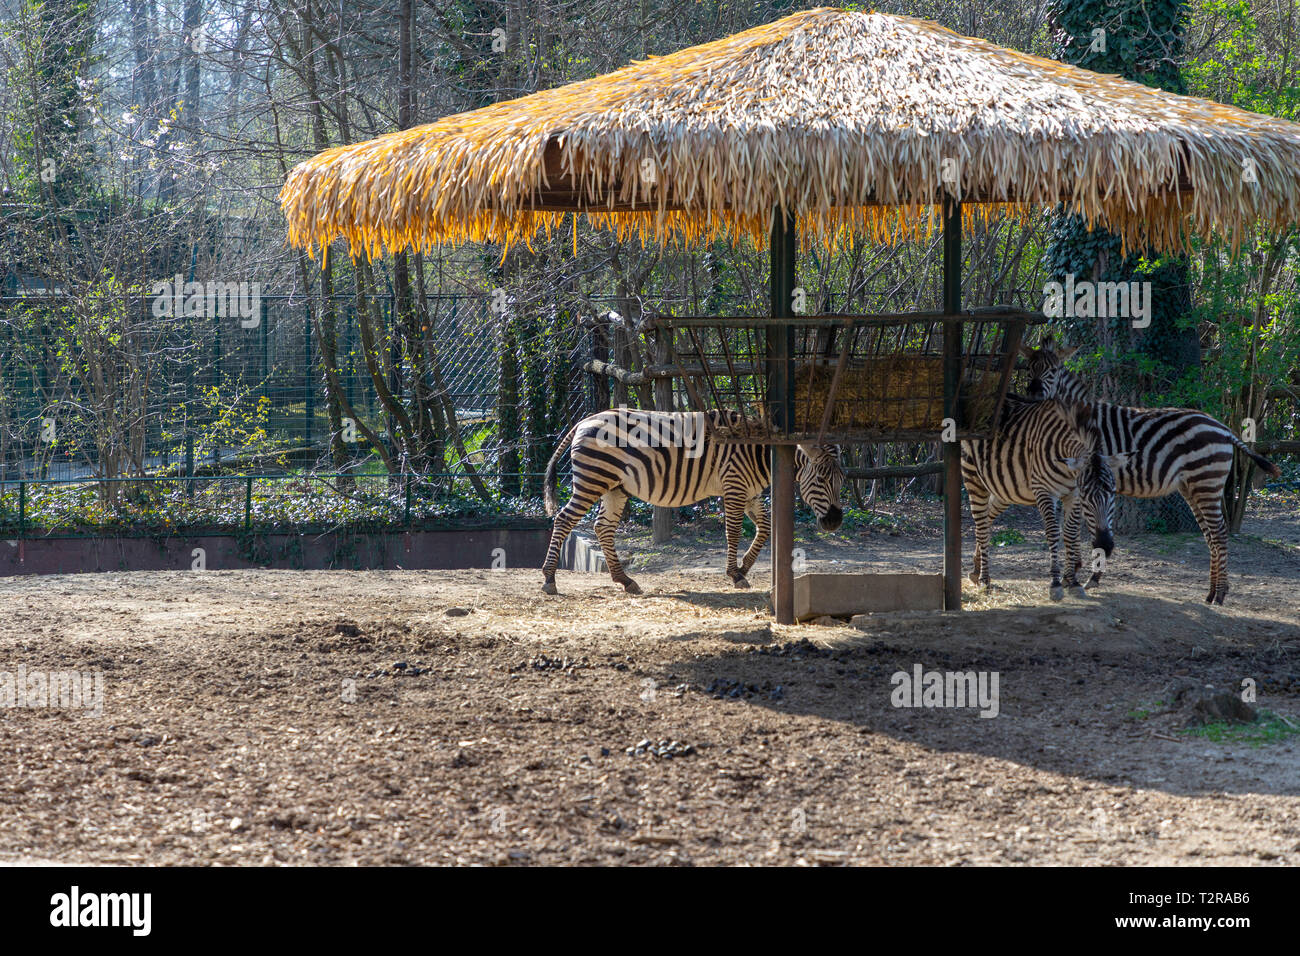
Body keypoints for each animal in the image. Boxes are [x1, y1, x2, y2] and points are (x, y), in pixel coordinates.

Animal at [541, 409, 844, 595]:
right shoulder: (734, 487)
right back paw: (549, 579)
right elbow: (733, 532)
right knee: (564, 519)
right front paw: (735, 574)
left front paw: (744, 567)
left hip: (615, 487)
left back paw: (625, 581)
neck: (760, 452)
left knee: (603, 527)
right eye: (820, 479)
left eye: (841, 480)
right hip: (593, 479)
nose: (835, 522)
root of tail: (584, 420)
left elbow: (766, 528)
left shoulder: (751, 494)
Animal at [962, 396, 1129, 601]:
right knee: (981, 526)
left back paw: (976, 571)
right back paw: (984, 580)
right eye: (1086, 497)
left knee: (987, 518)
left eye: (1112, 492)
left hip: (1005, 489)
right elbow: (1053, 533)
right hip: (973, 478)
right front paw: (1055, 584)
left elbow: (1070, 533)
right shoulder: (1044, 491)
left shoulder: (1072, 494)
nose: (1104, 545)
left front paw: (1073, 582)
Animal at [1022, 338, 1281, 604]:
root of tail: (1223, 428)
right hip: (1193, 486)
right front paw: (1078, 573)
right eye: (1028, 368)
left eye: (1053, 371)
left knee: (1218, 532)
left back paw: (1219, 593)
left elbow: (1083, 527)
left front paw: (1084, 575)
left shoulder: (1096, 479)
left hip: (1206, 482)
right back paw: (1211, 592)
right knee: (1210, 534)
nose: (1033, 394)